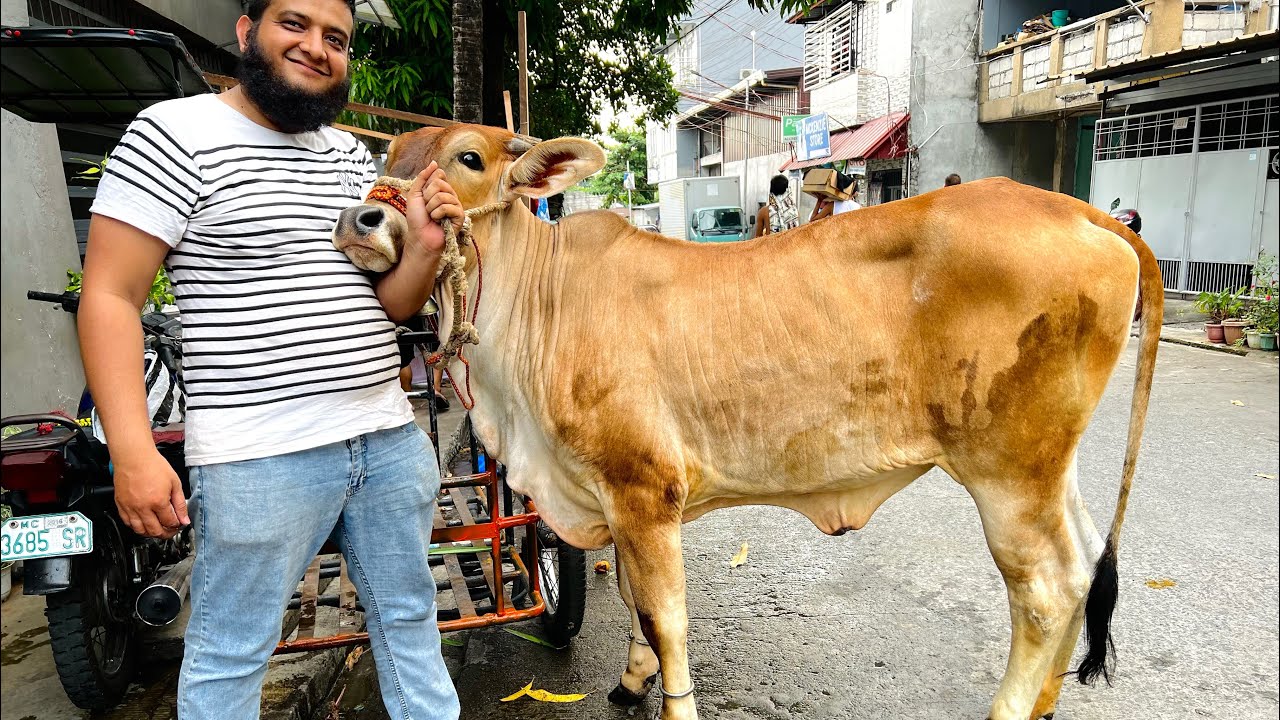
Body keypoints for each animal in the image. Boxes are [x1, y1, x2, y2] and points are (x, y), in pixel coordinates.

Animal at [333, 124, 1162, 720]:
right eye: (388, 154)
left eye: (467, 158)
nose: (361, 219)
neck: (541, 308)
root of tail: (1082, 210)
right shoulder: (617, 497)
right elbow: (633, 599)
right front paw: (632, 680)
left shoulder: (643, 490)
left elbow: (666, 618)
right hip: (1051, 469)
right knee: (1084, 567)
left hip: (1008, 474)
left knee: (1046, 591)